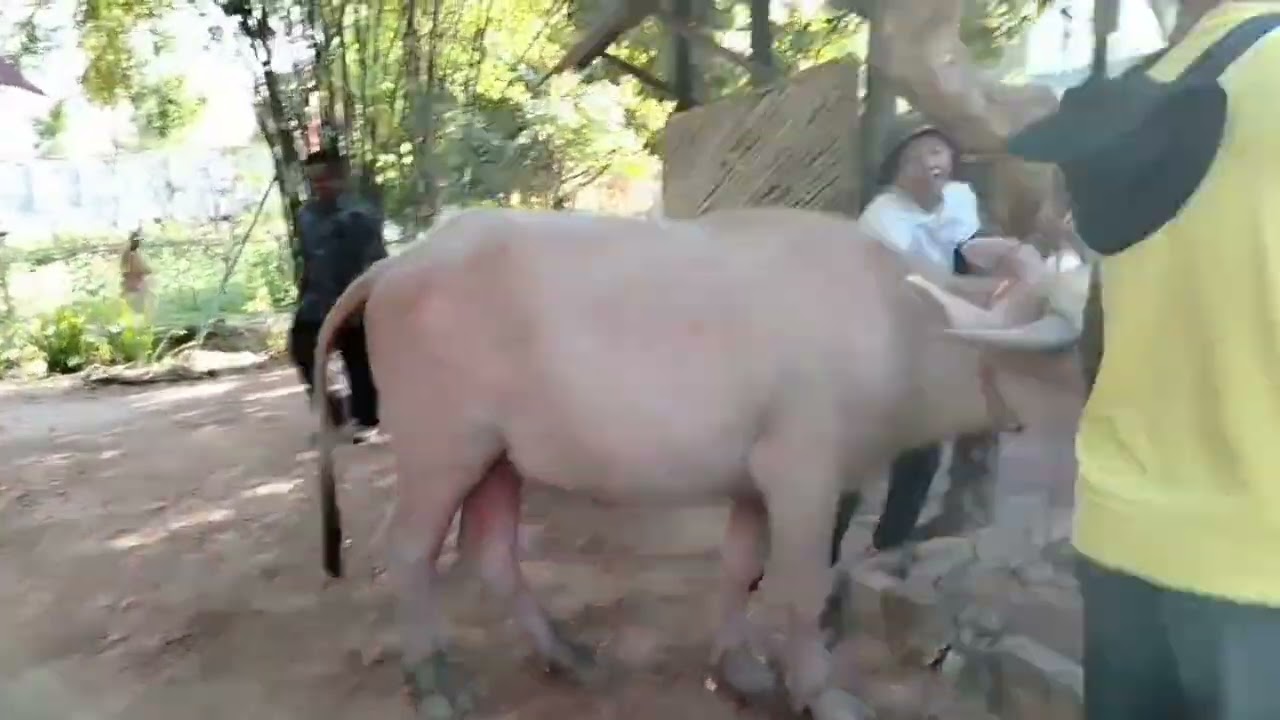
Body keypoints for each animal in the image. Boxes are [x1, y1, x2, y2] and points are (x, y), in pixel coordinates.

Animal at [311, 206, 1089, 720]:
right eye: (1084, 348)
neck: (908, 328)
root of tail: (398, 261)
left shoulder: (754, 480)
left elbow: (740, 566)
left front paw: (739, 668)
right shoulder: (804, 473)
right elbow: (799, 588)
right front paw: (817, 692)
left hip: (499, 456)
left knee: (493, 550)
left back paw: (564, 653)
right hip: (440, 446)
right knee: (408, 549)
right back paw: (433, 679)